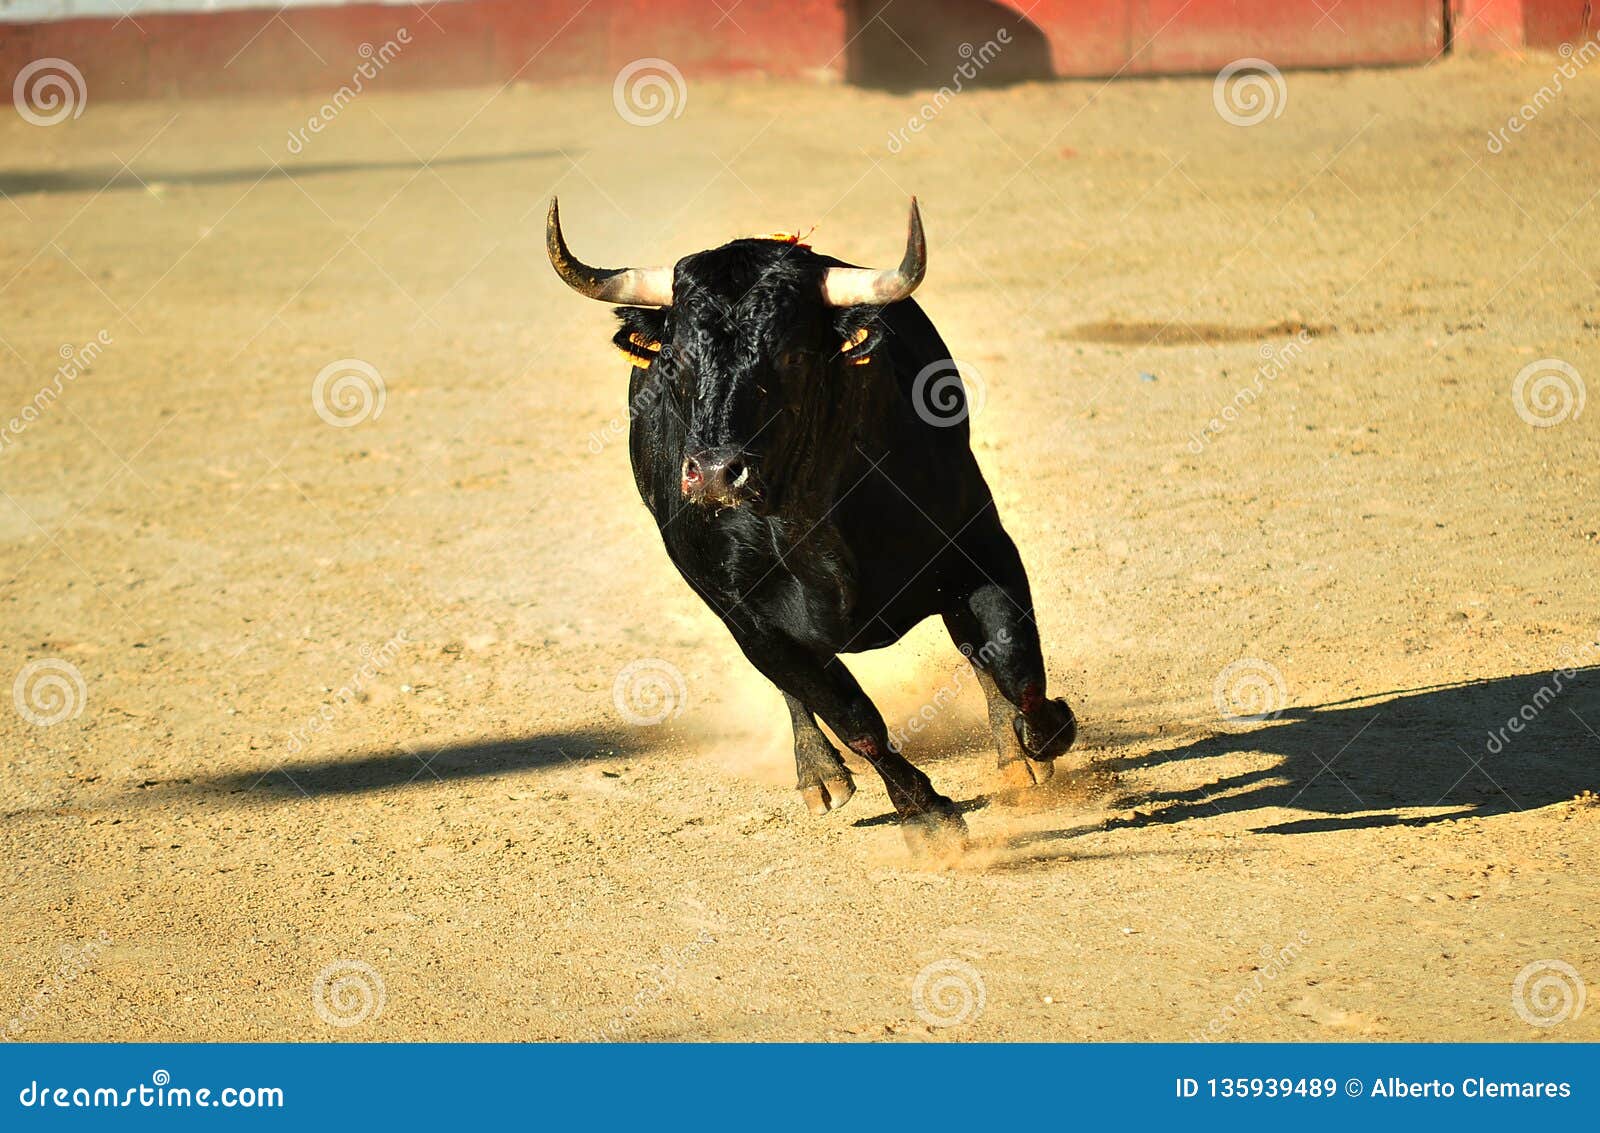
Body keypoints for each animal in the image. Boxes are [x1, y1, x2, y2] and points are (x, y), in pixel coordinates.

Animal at [548, 197, 1077, 852]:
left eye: (793, 356)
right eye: (674, 359)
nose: (717, 474)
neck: (809, 520)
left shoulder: (980, 545)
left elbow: (1014, 660)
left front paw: (1045, 734)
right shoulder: (753, 622)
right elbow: (854, 718)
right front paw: (928, 818)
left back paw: (1016, 756)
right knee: (802, 696)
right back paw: (819, 774)